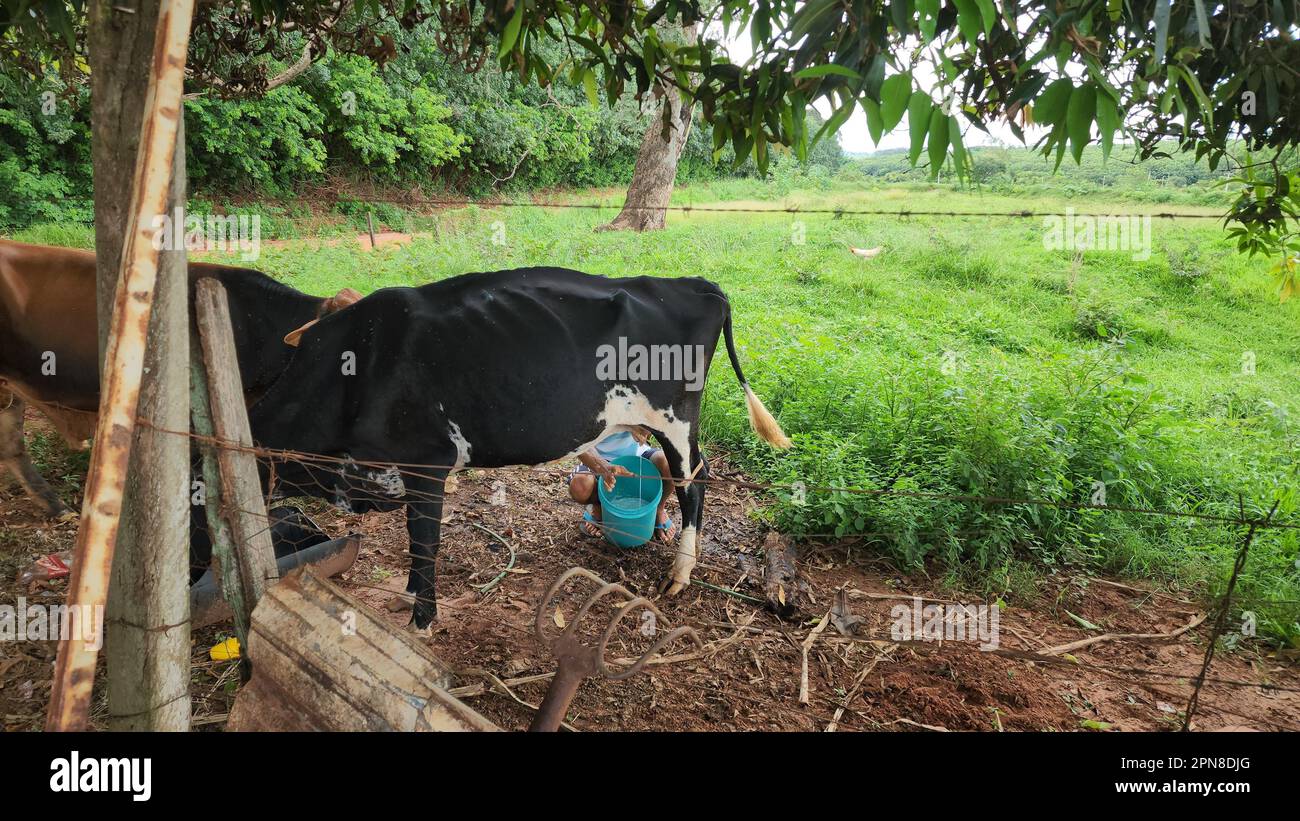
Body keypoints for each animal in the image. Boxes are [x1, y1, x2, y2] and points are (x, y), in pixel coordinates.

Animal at [248, 266, 791, 631]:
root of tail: (693, 283)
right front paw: (407, 601)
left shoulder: (427, 464)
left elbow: (423, 544)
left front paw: (422, 620)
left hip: (675, 419)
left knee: (693, 482)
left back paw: (679, 574)